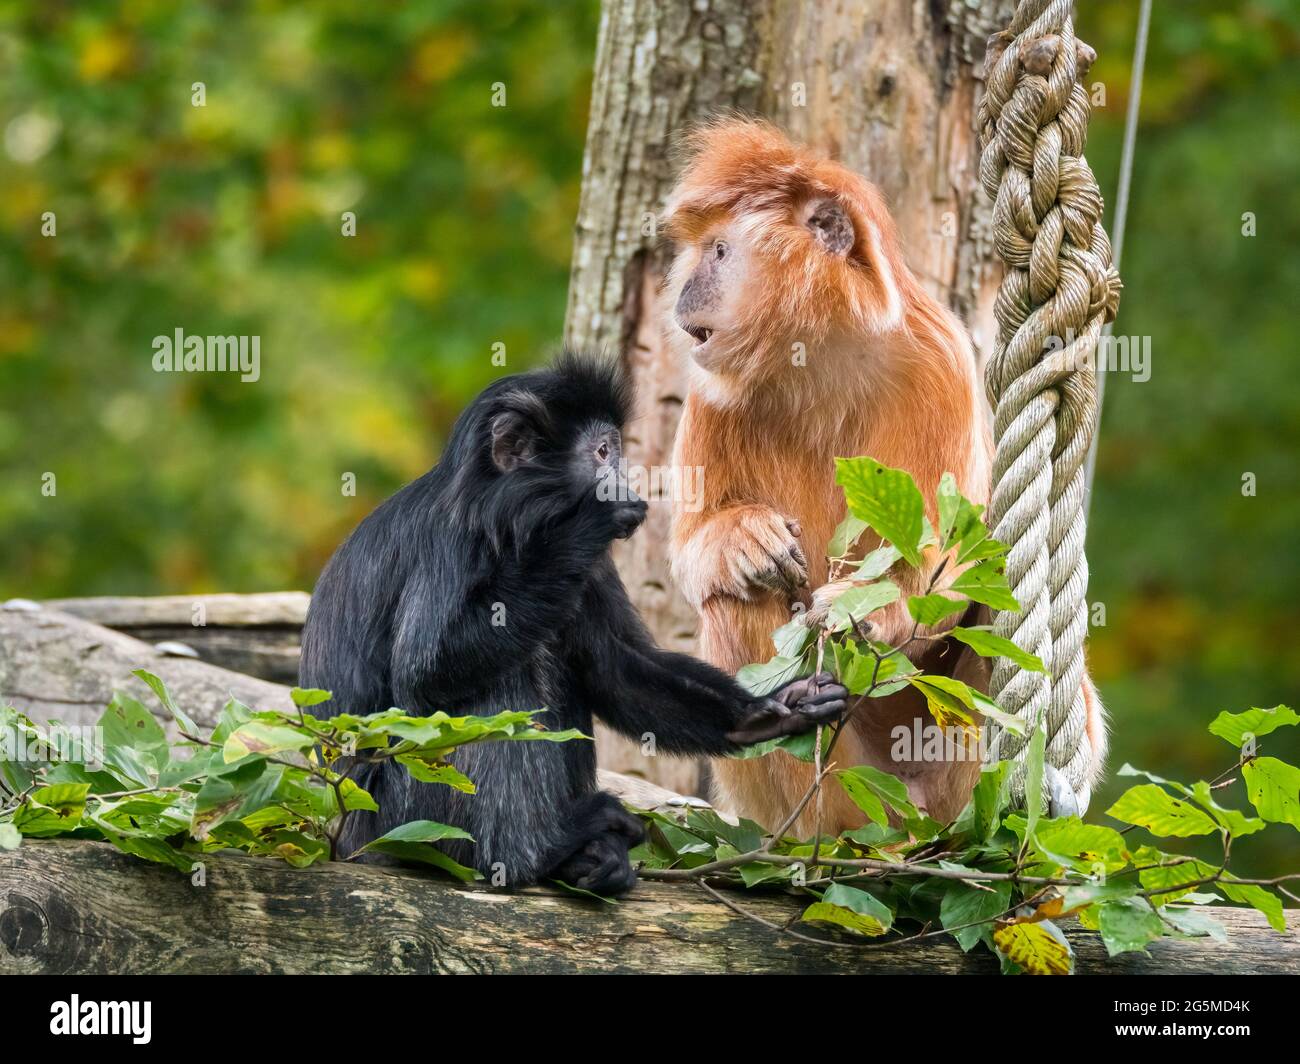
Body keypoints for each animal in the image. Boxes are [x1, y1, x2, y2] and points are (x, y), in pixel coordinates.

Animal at [299, 353, 848, 894]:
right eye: (604, 452)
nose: (625, 479)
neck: (514, 526)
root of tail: (342, 831)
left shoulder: (590, 564)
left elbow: (615, 668)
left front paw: (773, 711)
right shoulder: (452, 541)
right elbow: (426, 672)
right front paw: (594, 513)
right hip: (401, 816)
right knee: (494, 686)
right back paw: (541, 849)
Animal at [663, 119, 1106, 832]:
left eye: (722, 252)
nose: (684, 294)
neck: (815, 355)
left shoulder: (939, 359)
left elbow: (949, 564)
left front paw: (867, 606)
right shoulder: (713, 389)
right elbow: (693, 551)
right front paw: (745, 538)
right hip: (848, 786)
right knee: (742, 595)